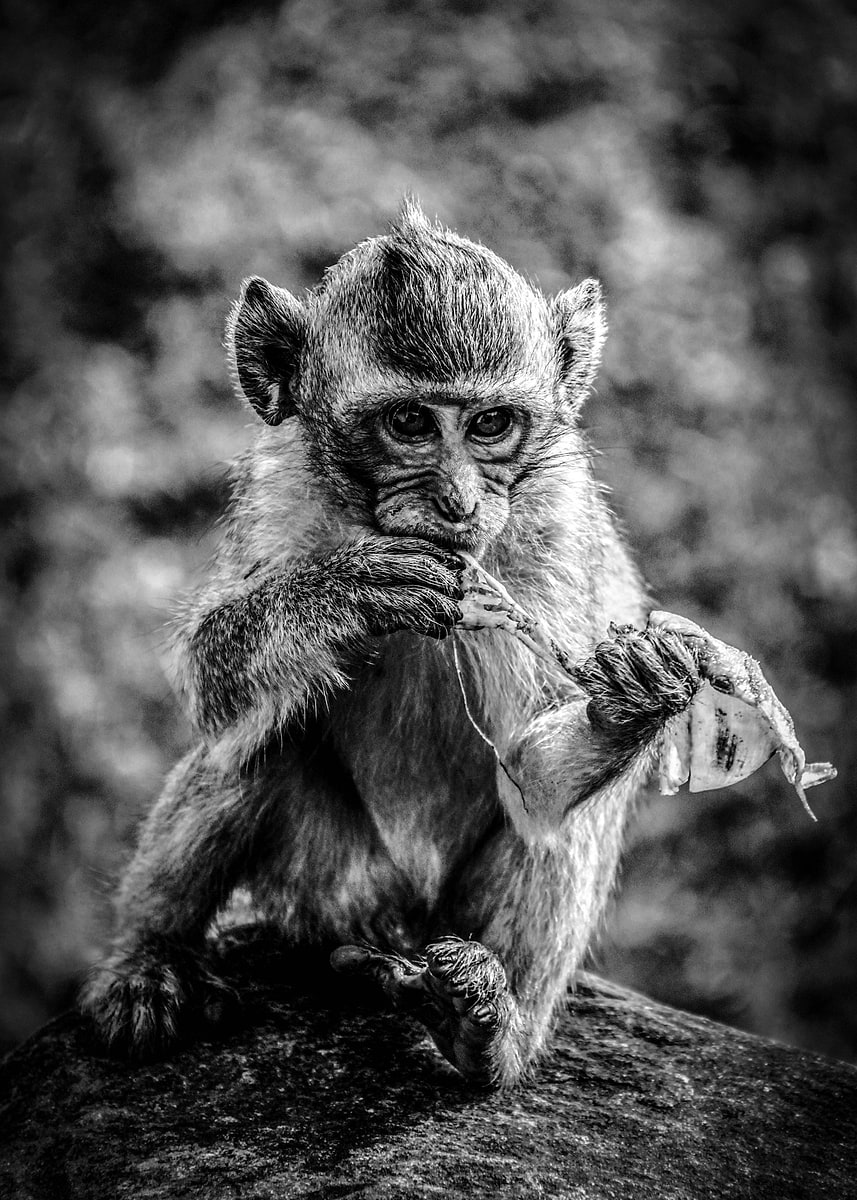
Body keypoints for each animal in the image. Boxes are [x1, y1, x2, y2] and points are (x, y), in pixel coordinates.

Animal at [81, 200, 700, 1088]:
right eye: (408, 421)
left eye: (490, 424)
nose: (457, 502)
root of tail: (402, 931)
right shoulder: (281, 497)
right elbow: (210, 682)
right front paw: (344, 595)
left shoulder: (556, 534)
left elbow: (539, 770)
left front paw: (634, 695)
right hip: (332, 890)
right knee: (255, 737)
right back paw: (151, 957)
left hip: (444, 924)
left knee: (563, 819)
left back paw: (483, 1031)